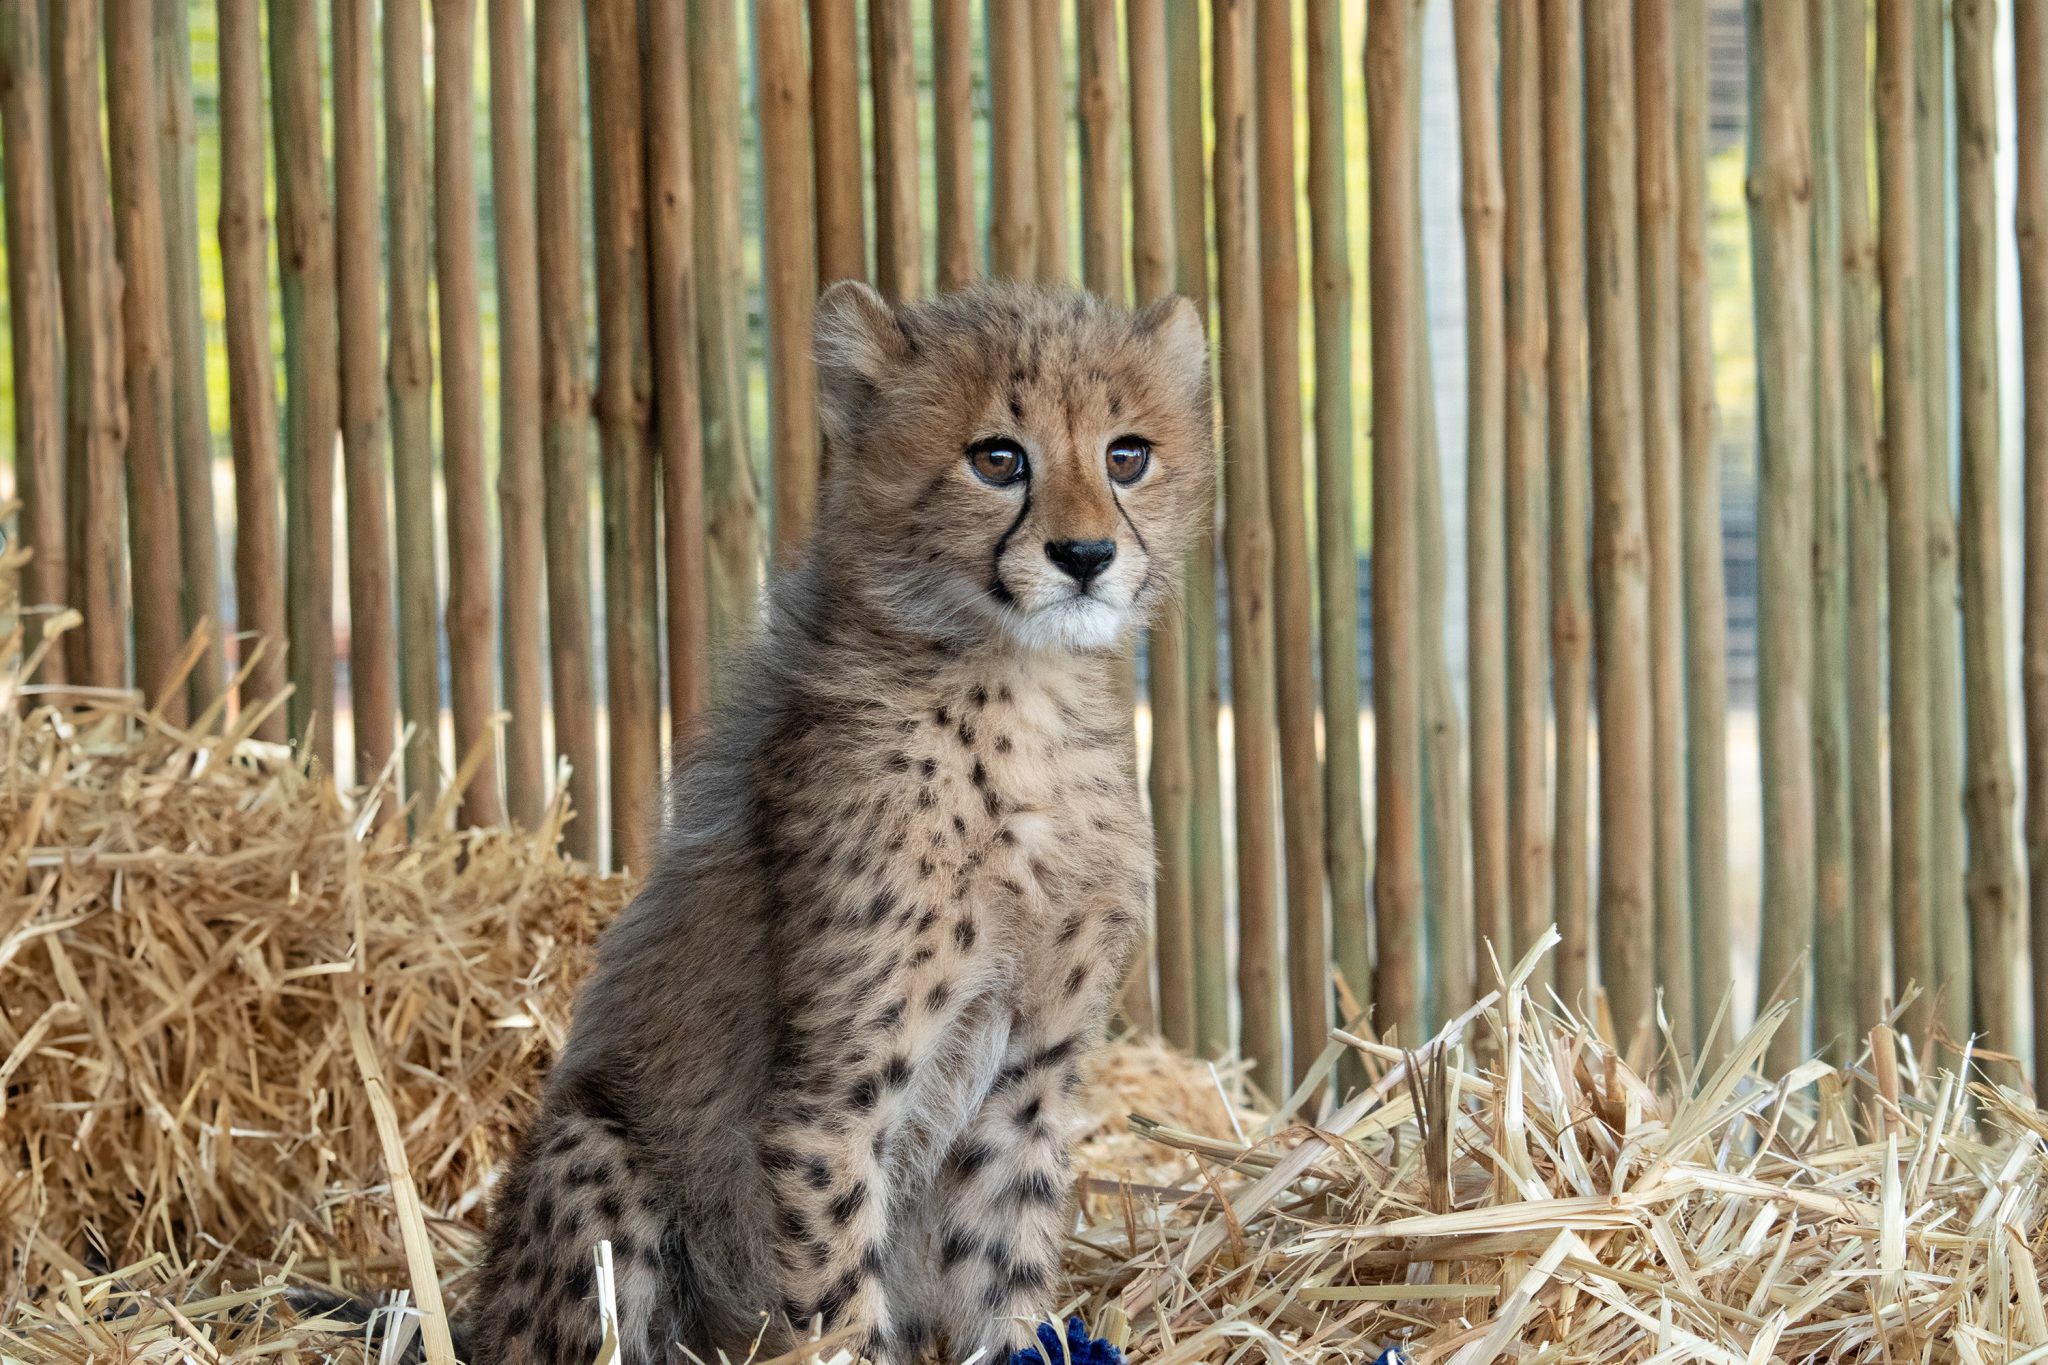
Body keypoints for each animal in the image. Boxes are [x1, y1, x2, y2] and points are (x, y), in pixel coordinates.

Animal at [466, 279, 1213, 1365]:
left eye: (1127, 455)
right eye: (997, 458)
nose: (1084, 554)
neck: (1018, 694)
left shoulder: (1027, 1080)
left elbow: (1006, 1266)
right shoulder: (833, 1100)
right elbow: (840, 1293)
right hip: (594, 1150)